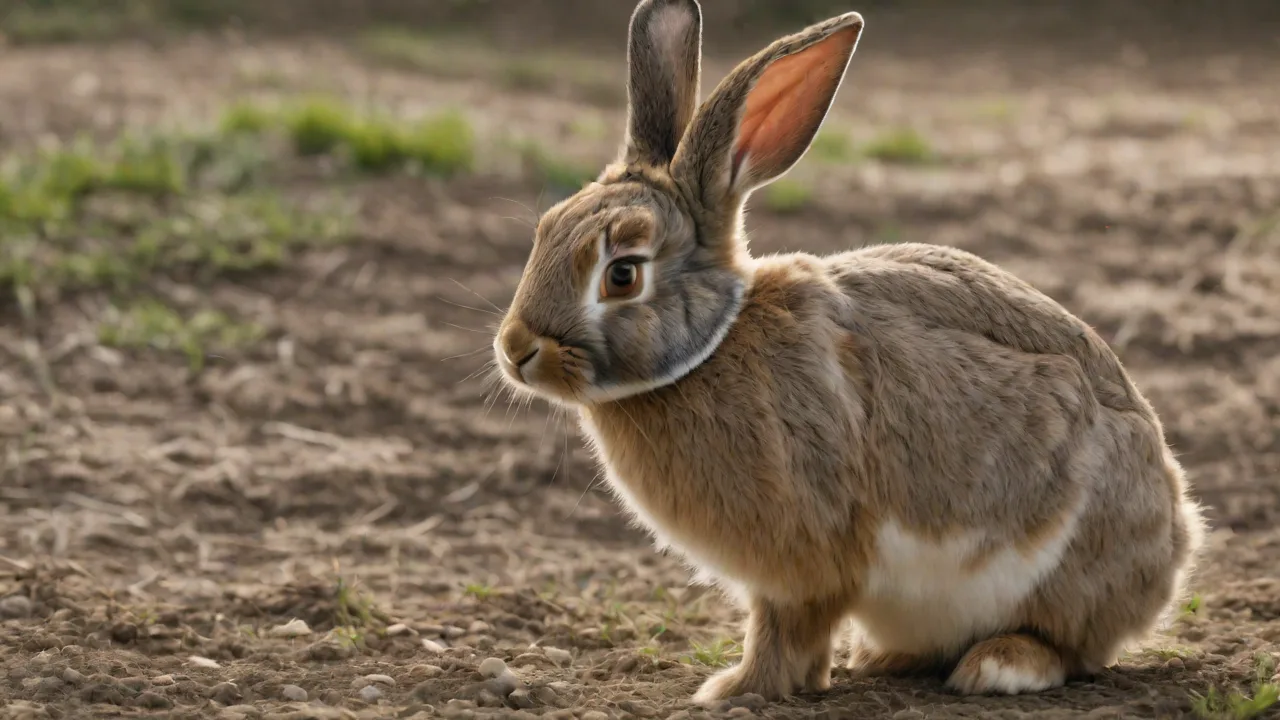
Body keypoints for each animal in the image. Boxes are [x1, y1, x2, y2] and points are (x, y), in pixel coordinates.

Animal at [492, 0, 1207, 706]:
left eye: (622, 274)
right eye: (547, 228)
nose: (516, 349)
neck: (712, 344)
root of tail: (1176, 541)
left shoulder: (803, 562)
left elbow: (784, 629)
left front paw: (733, 689)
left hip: (1066, 557)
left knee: (1069, 645)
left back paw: (1000, 665)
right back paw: (885, 658)